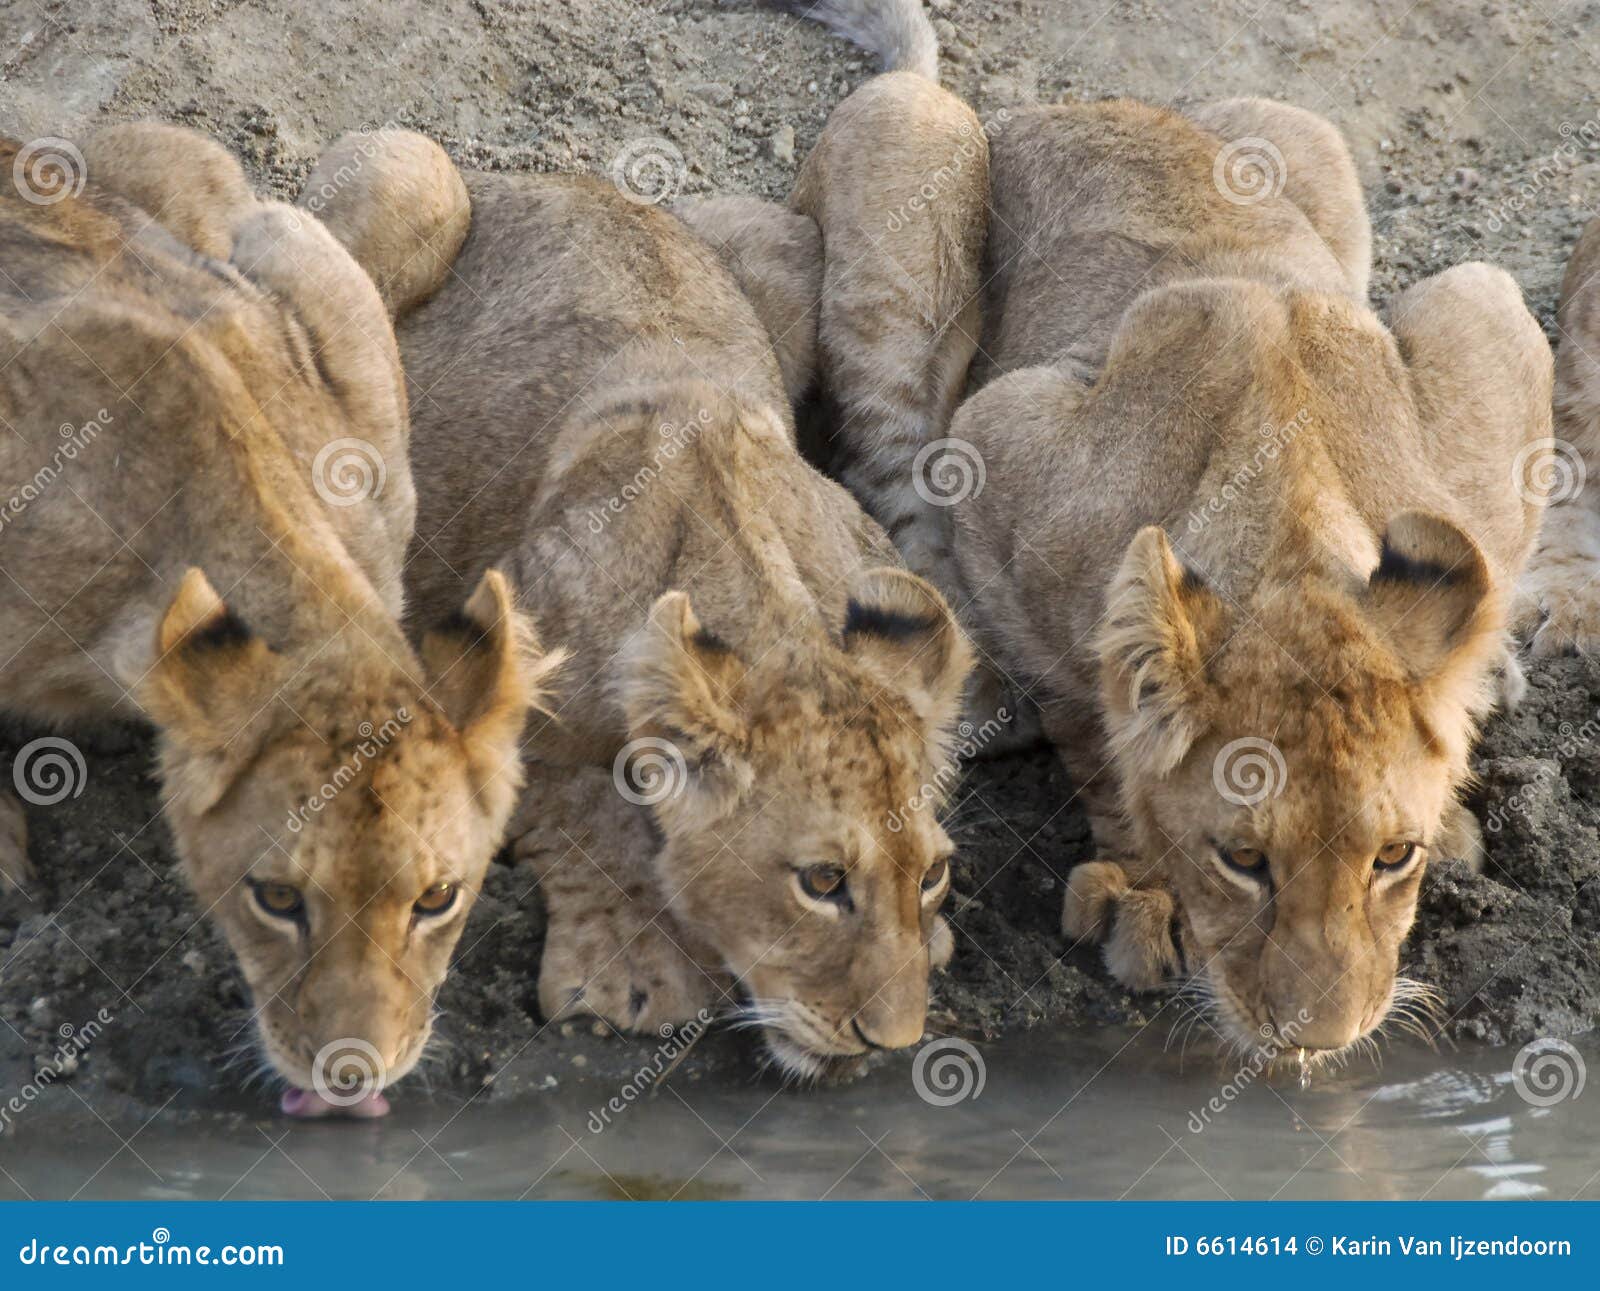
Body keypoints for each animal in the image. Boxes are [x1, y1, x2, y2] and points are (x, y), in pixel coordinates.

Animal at [303, 132, 974, 1079]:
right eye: (822, 881)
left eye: (932, 873)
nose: (893, 1040)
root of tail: (560, 175)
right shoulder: (486, 660)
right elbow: (586, 812)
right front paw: (632, 972)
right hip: (414, 172)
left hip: (785, 257)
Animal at [776, 0, 1553, 1062]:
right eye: (1243, 859)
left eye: (1394, 854)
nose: (1319, 1038)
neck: (1292, 533)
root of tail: (1048, 106)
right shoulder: (1002, 440)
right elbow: (1094, 722)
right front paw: (1141, 889)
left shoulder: (1480, 370)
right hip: (912, 152)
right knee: (893, 474)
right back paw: (973, 691)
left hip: (1320, 152)